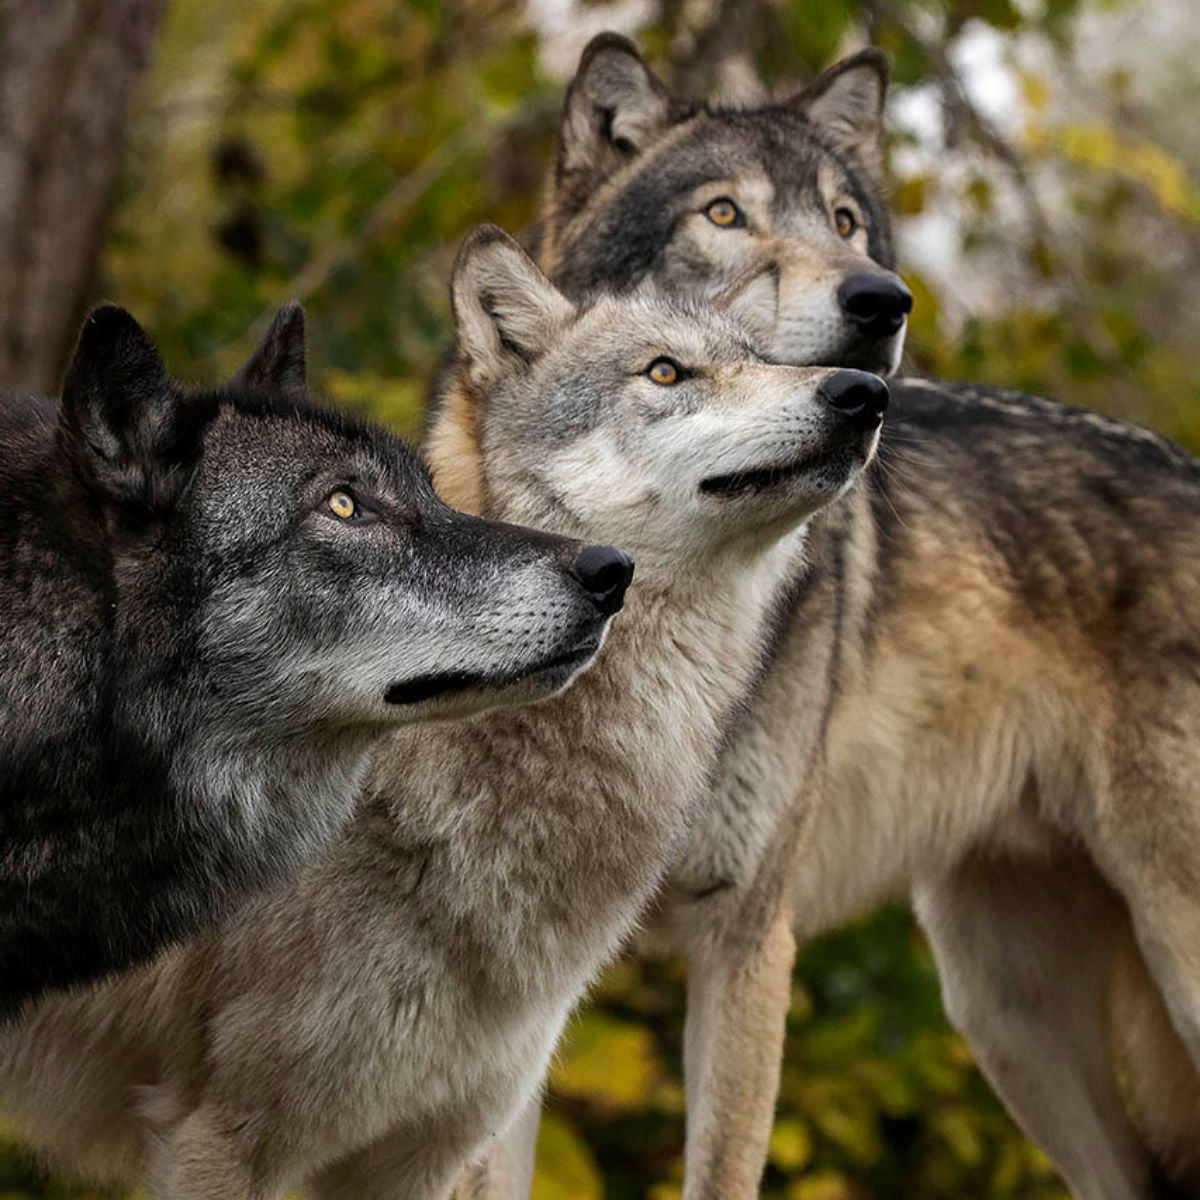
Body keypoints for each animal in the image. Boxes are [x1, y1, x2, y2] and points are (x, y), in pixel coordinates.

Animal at [459, 34, 1200, 1200]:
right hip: (1009, 1017)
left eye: (847, 222)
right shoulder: (520, 970)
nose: (883, 300)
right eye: (724, 214)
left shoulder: (749, 936)